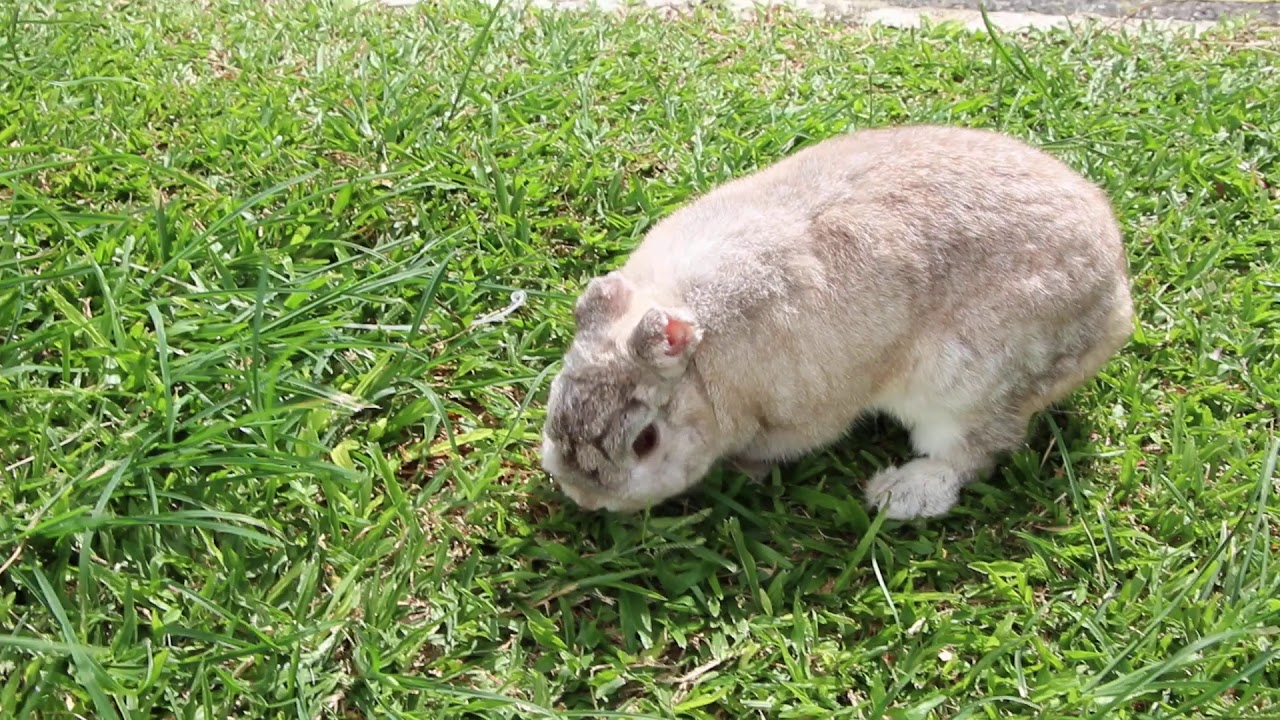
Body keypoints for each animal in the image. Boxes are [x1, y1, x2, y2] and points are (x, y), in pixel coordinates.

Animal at [539, 124, 1134, 520]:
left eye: (645, 441)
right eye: (554, 399)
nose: (585, 497)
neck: (703, 371)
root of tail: (1116, 301)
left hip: (966, 386)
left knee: (976, 451)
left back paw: (899, 493)